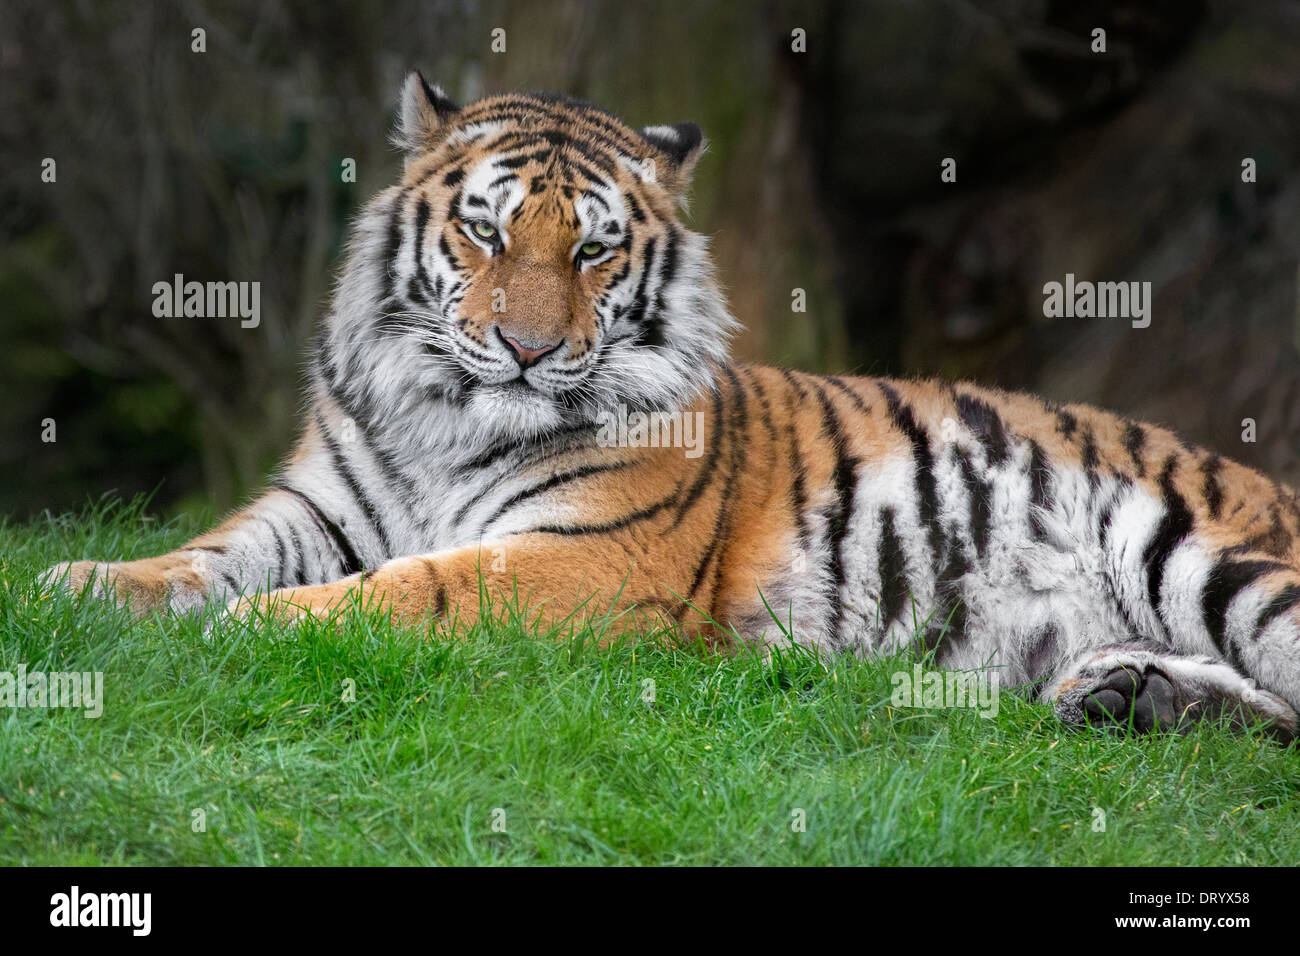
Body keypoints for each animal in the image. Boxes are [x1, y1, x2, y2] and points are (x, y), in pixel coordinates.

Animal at [40, 72, 1300, 742]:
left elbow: (411, 585)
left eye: (594, 250)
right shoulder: (319, 506)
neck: (449, 417)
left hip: (1213, 556)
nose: (527, 348)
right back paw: (1133, 695)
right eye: (485, 230)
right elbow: (204, 552)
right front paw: (80, 584)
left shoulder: (585, 554)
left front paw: (264, 624)